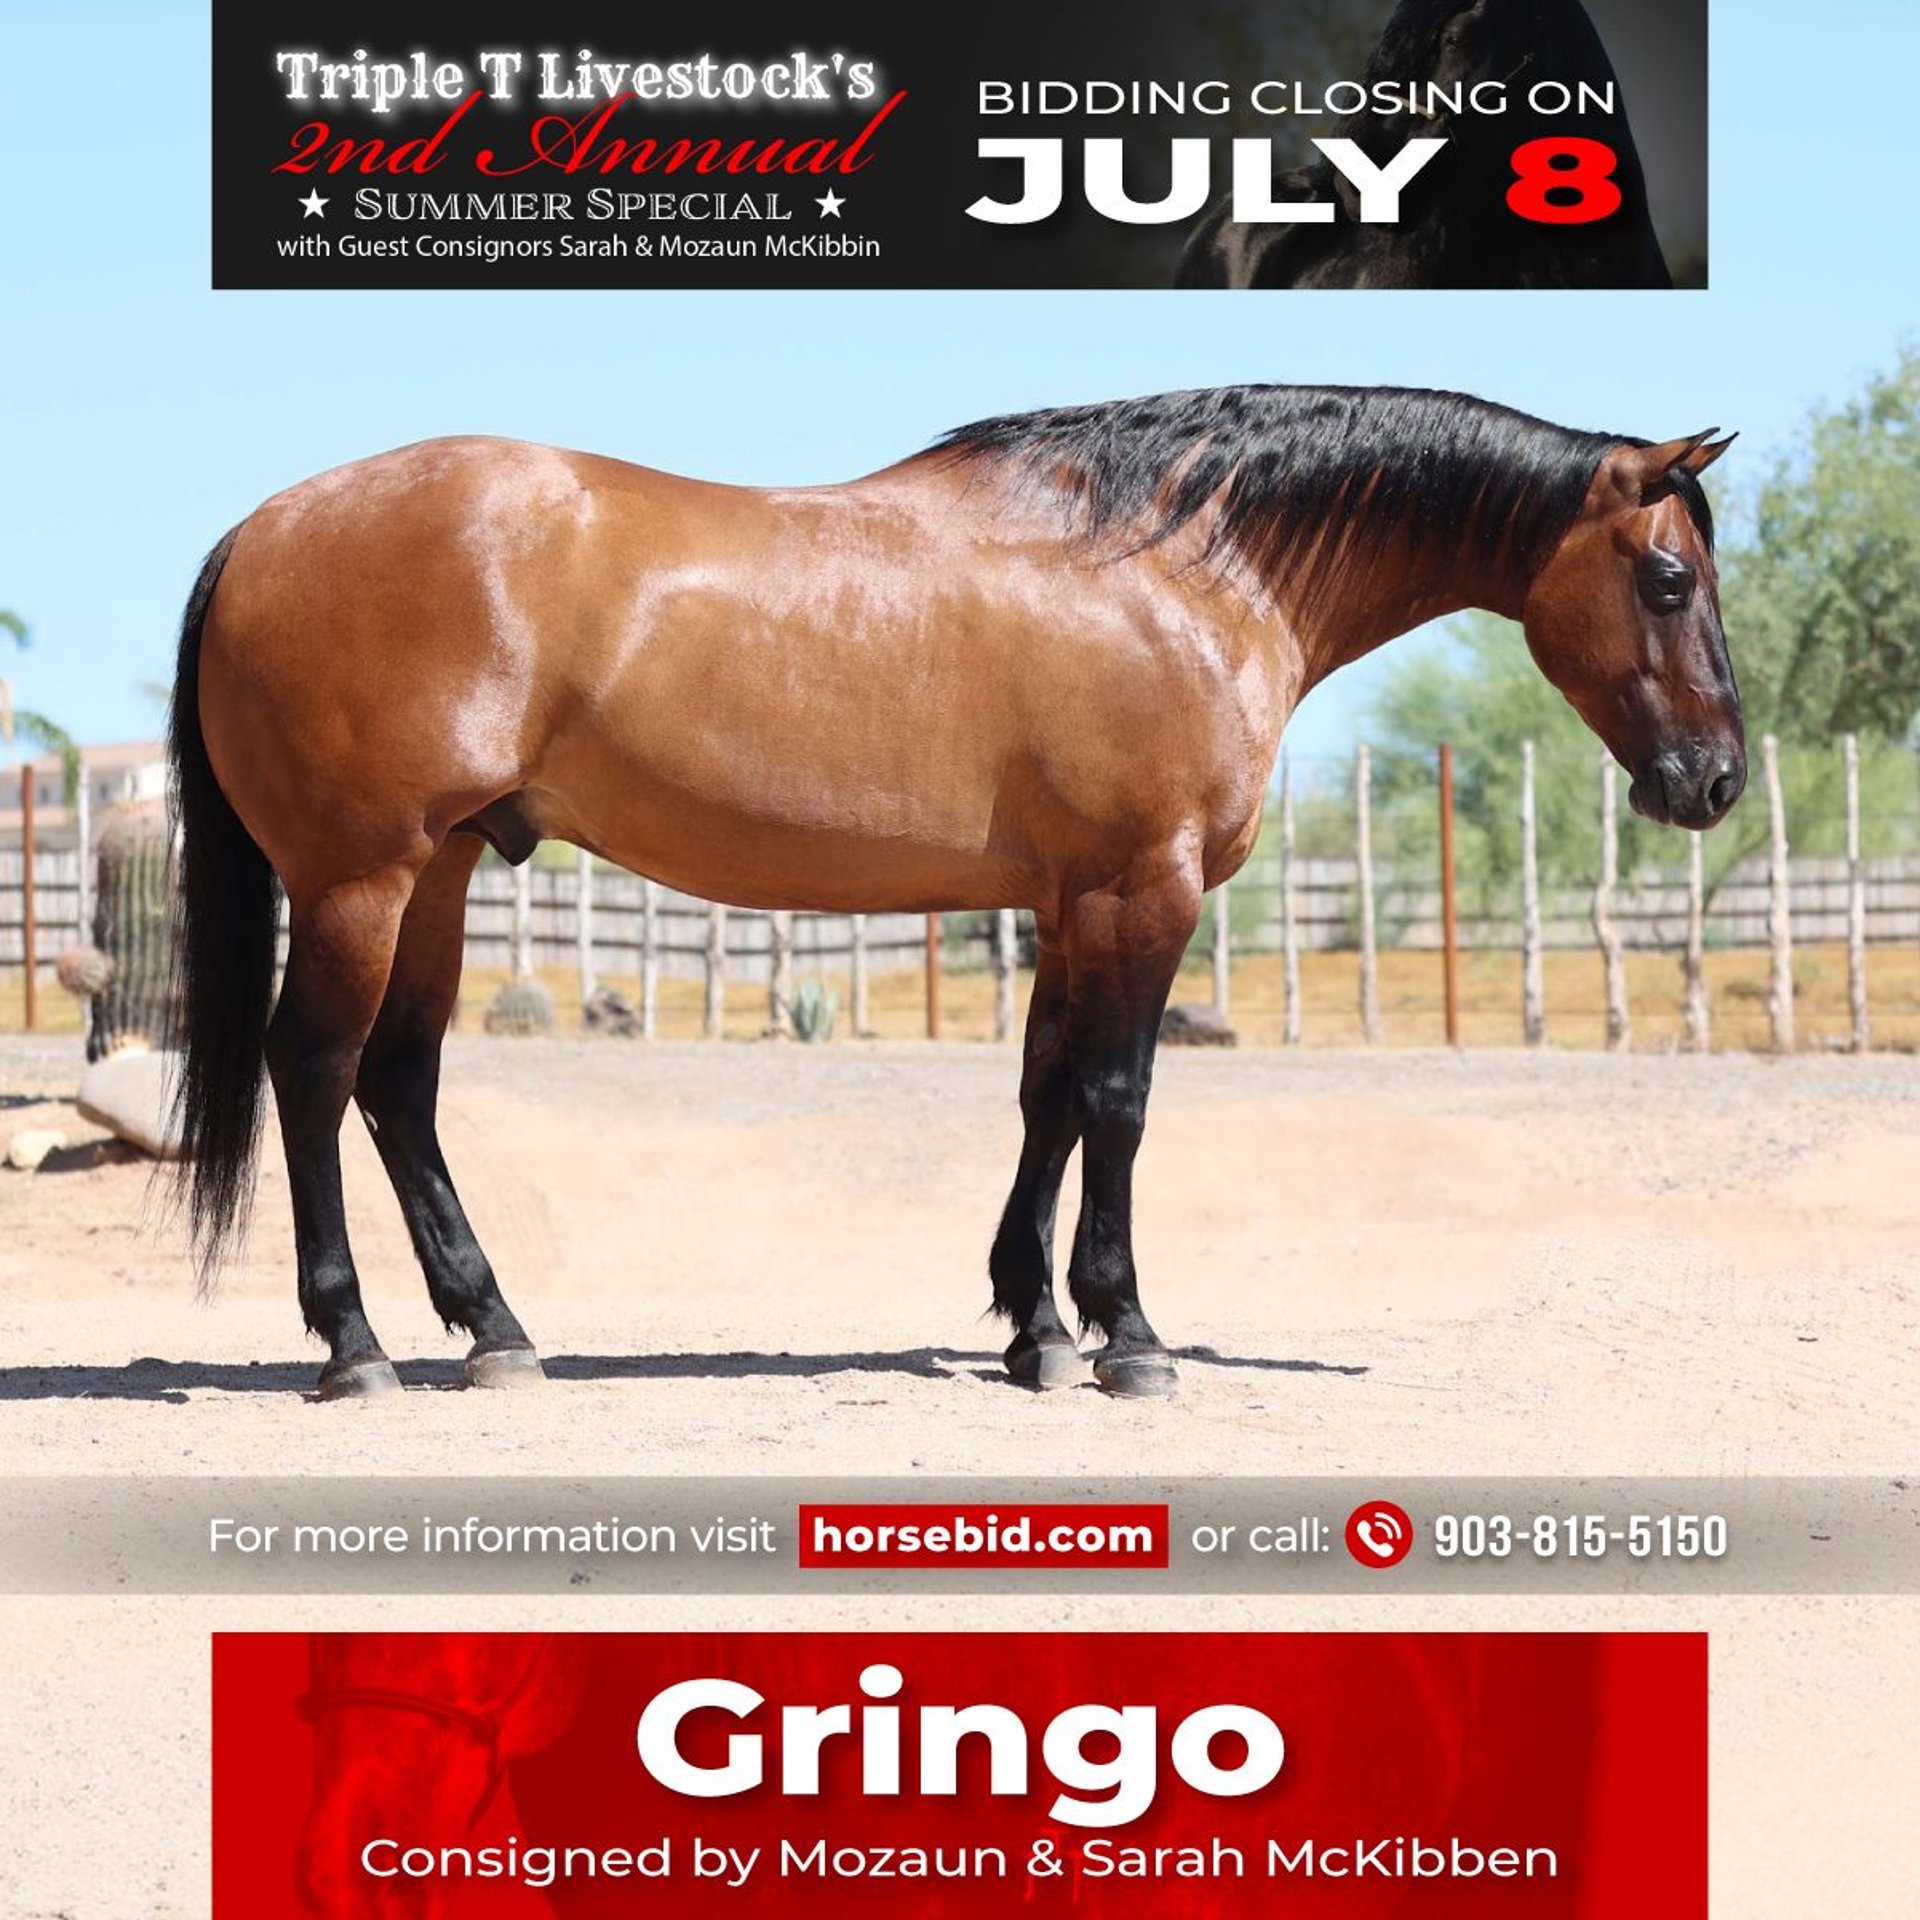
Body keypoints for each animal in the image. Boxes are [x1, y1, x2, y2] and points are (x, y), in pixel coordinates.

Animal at [167, 381, 1740, 1402]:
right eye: (1668, 579)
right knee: (315, 1072)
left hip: (435, 873)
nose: (1714, 781)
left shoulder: (1067, 901)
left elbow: (1048, 1099)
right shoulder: (1146, 887)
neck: (1177, 567)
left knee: (400, 1086)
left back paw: (494, 1331)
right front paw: (1128, 1336)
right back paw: (356, 1348)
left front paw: (1034, 1328)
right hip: (364, 878)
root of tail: (258, 531)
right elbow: (1118, 1100)